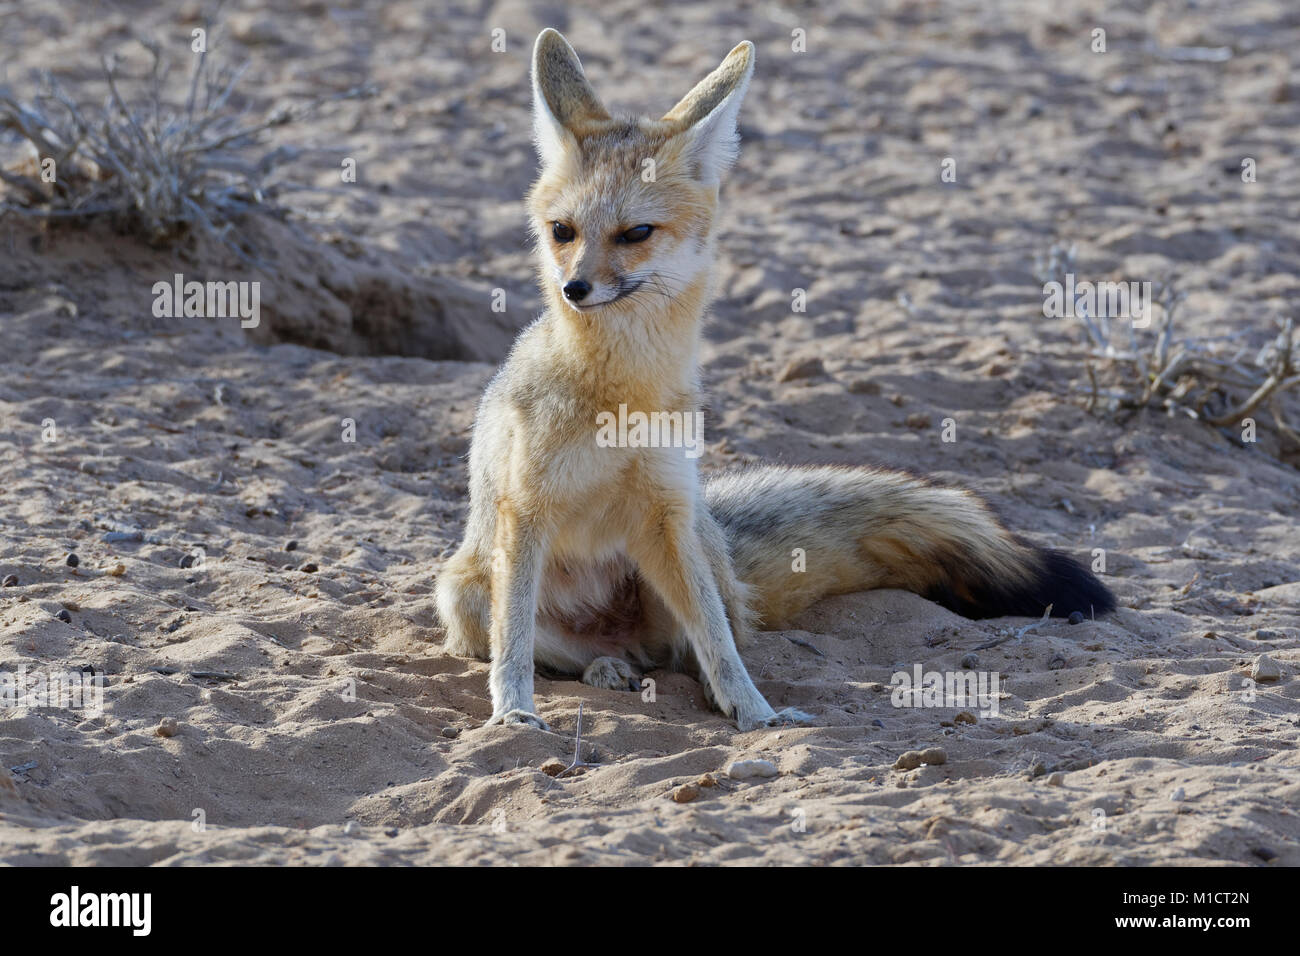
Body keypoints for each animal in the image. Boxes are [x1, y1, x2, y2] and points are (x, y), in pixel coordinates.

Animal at [435, 29, 1116, 732]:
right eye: (562, 231)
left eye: (635, 233)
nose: (574, 289)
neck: (621, 396)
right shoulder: (525, 512)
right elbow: (514, 643)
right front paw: (512, 713)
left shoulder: (665, 512)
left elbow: (719, 644)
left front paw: (756, 714)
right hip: (465, 593)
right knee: (577, 654)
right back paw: (603, 669)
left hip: (694, 551)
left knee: (694, 647)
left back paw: (660, 678)